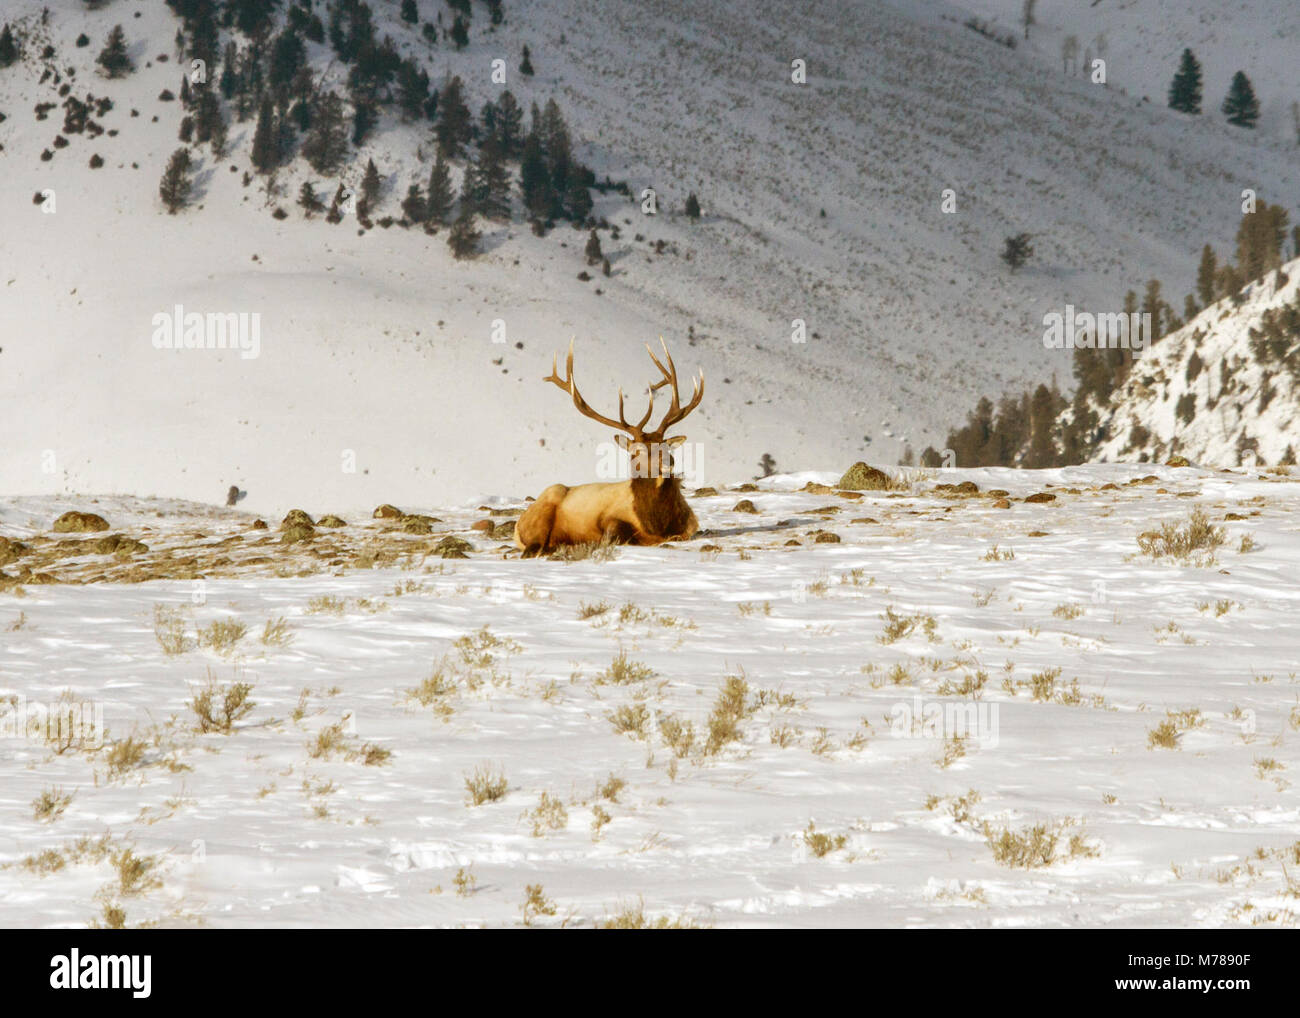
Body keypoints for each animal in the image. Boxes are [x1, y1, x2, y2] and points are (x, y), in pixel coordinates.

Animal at [515, 339, 705, 557]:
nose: (668, 461)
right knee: (534, 546)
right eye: (638, 450)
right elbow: (613, 534)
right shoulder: (608, 517)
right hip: (547, 503)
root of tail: (517, 525)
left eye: (666, 446)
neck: (656, 524)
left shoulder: (689, 528)